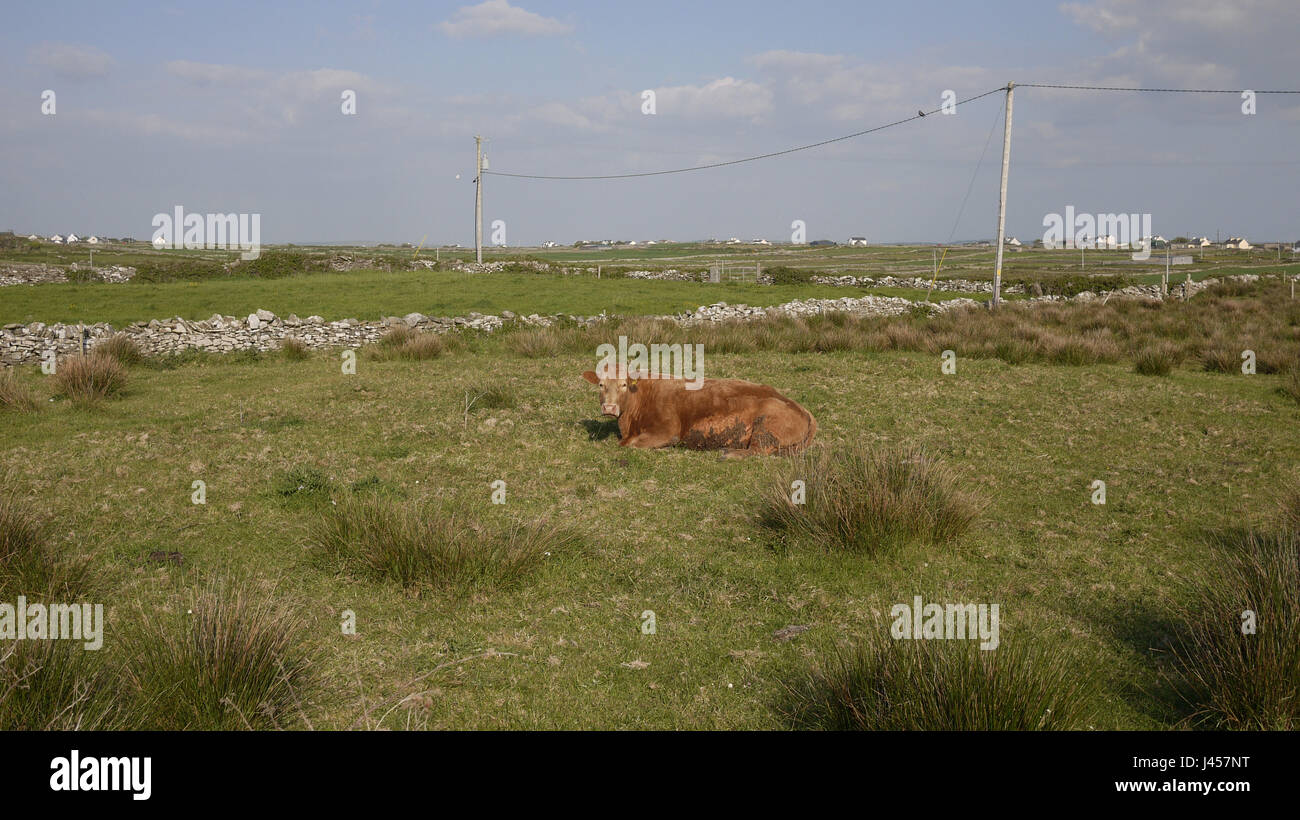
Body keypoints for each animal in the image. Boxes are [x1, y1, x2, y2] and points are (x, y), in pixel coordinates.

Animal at [581, 368, 817, 455]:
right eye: (600, 385)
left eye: (623, 384)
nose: (609, 408)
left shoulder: (667, 430)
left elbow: (630, 444)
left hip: (765, 429)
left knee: (757, 451)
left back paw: (728, 453)